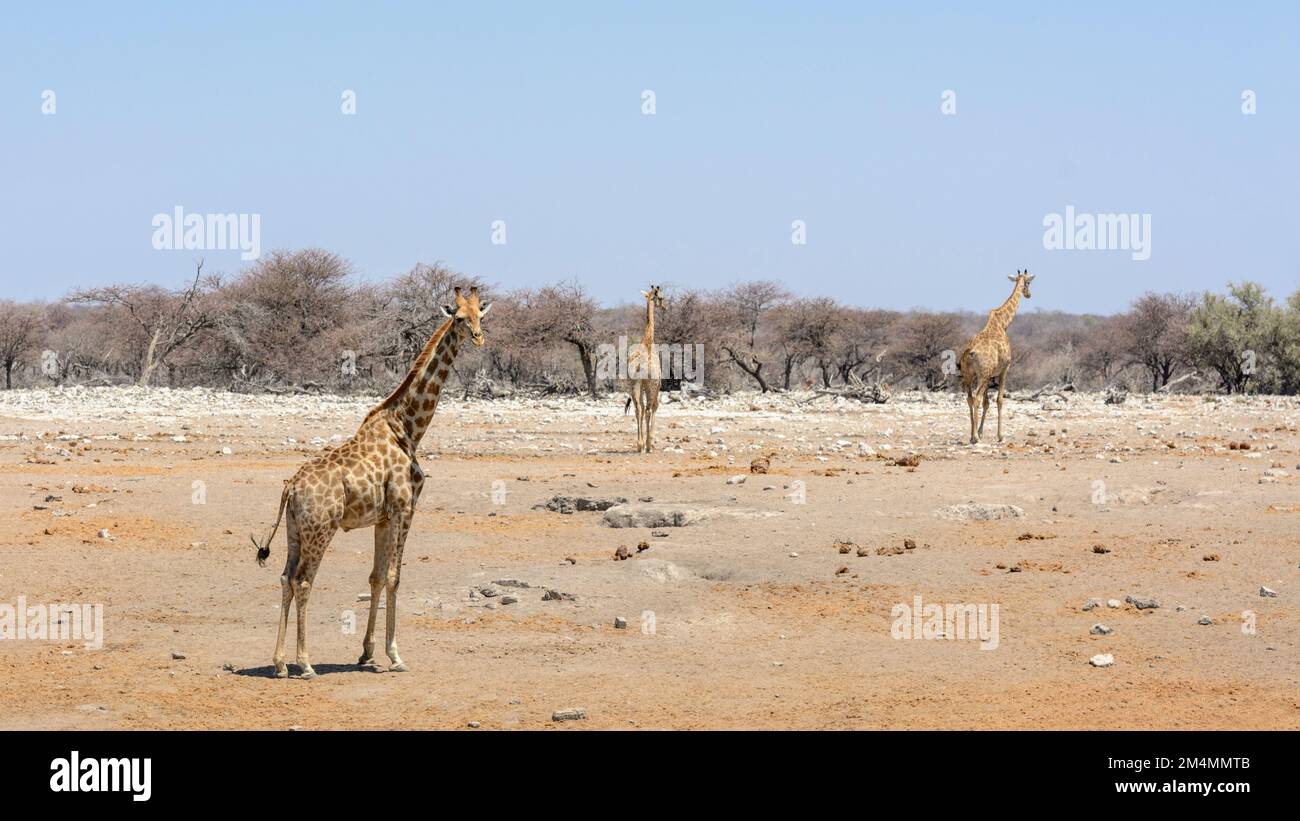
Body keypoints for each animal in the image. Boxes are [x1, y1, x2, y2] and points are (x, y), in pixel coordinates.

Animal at [251, 285, 491, 679]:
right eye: (458, 317)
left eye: (480, 316)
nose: (478, 337)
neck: (408, 428)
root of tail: (291, 487)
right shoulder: (405, 507)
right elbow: (394, 576)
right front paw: (395, 656)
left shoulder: (381, 517)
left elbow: (376, 577)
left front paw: (366, 653)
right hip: (321, 529)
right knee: (304, 580)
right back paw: (305, 663)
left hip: (293, 530)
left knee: (286, 578)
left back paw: (280, 663)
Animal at [623, 285, 665, 452]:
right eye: (661, 297)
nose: (665, 307)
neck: (648, 340)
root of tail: (640, 366)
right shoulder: (658, 384)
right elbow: (655, 407)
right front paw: (651, 442)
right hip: (650, 385)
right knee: (648, 409)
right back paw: (648, 445)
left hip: (634, 385)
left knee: (638, 409)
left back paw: (639, 445)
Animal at [958, 270, 1033, 445]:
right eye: (1028, 282)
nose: (1029, 294)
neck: (1002, 324)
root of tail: (970, 352)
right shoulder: (1005, 369)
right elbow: (999, 400)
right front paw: (1000, 435)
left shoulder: (990, 375)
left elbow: (987, 402)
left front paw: (981, 432)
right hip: (982, 375)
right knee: (976, 398)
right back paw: (975, 438)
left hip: (969, 375)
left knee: (970, 399)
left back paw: (972, 436)